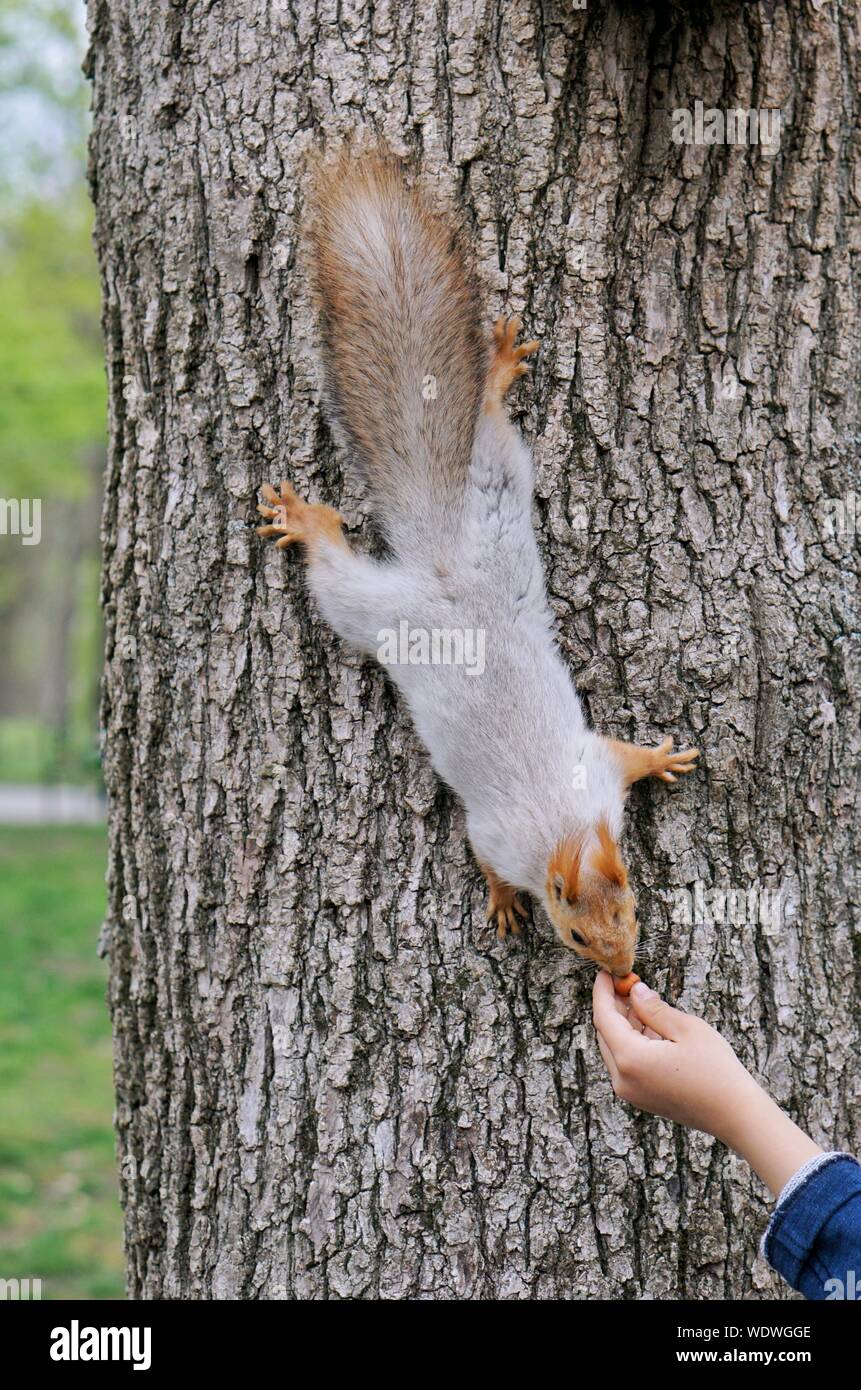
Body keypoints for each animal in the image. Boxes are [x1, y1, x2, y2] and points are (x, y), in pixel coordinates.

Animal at [257, 152, 699, 979]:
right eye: (577, 935)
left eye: (629, 903)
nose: (623, 972)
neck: (563, 828)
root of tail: (442, 573)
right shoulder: (496, 830)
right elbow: (486, 859)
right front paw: (501, 902)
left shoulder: (596, 774)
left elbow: (623, 755)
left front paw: (659, 757)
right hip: (373, 608)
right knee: (333, 570)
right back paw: (308, 521)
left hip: (497, 506)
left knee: (487, 436)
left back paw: (492, 374)